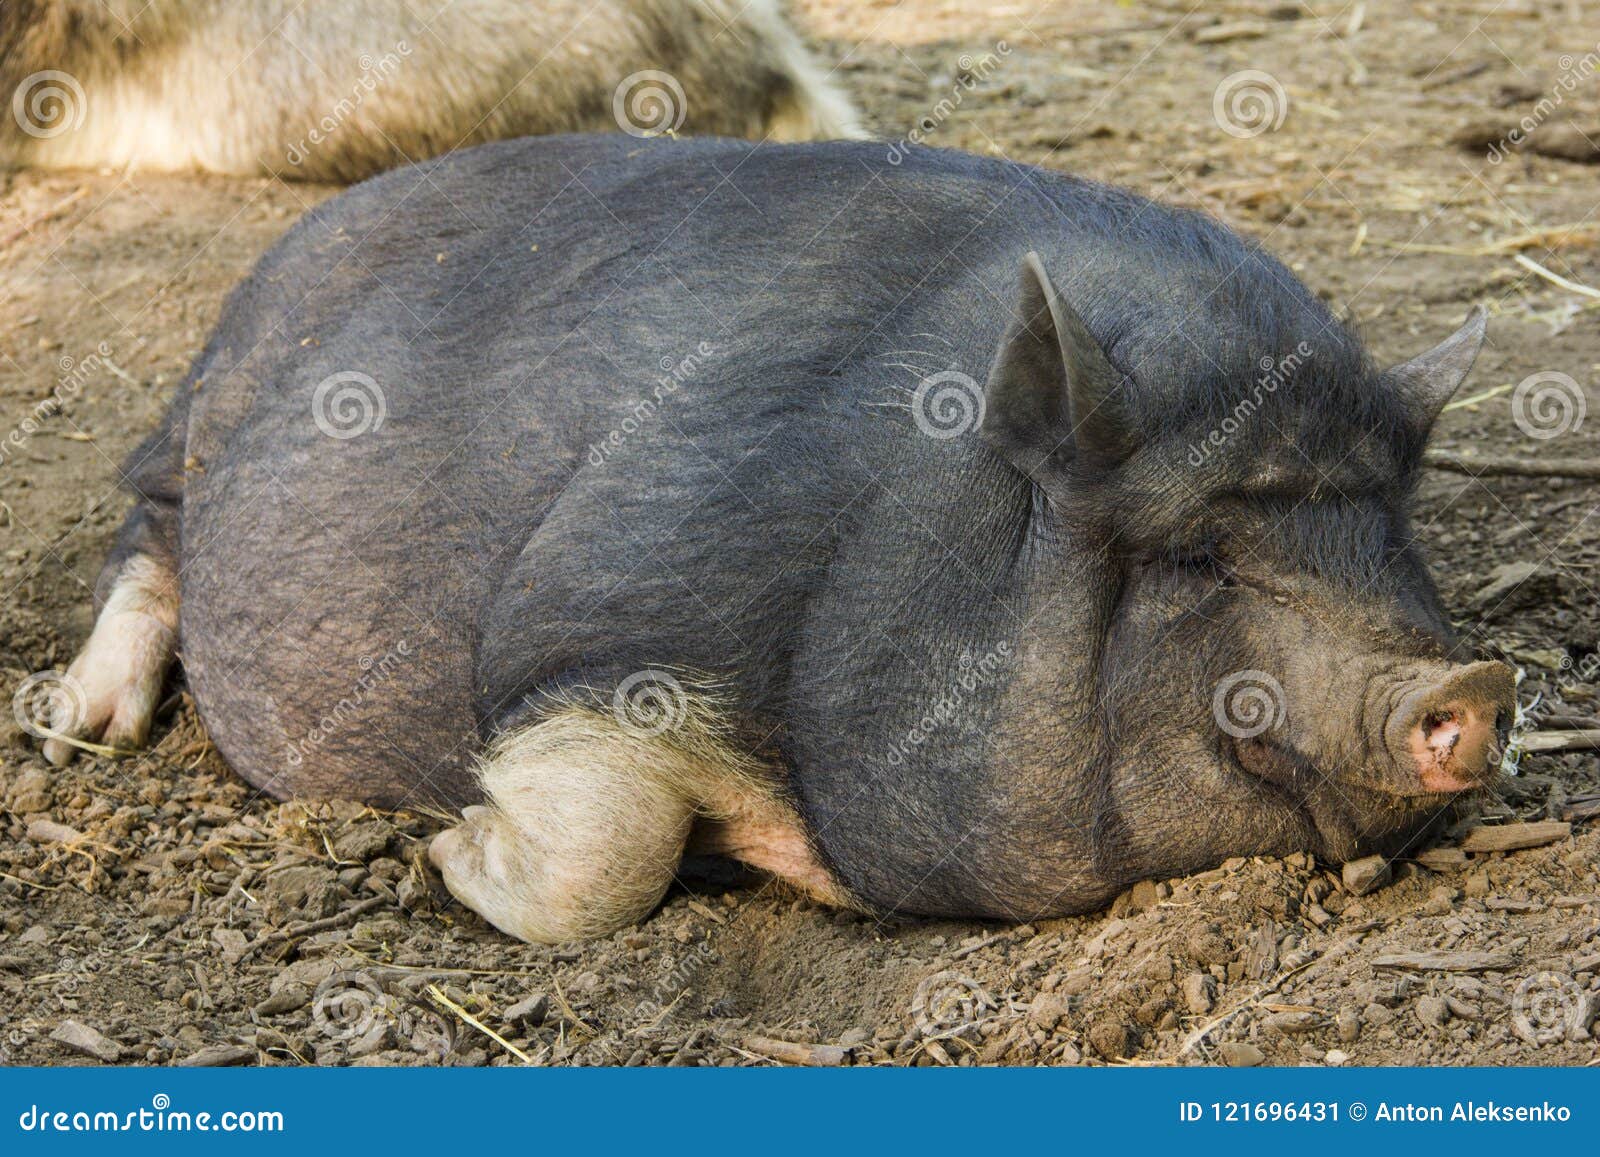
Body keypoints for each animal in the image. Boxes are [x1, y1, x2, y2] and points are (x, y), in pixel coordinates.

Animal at [37, 135, 1515, 943]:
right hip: (194, 424)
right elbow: (610, 844)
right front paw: (446, 848)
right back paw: (74, 729)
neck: (884, 522)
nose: (1474, 684)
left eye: (1391, 533)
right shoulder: (601, 624)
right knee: (145, 542)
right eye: (1197, 556)